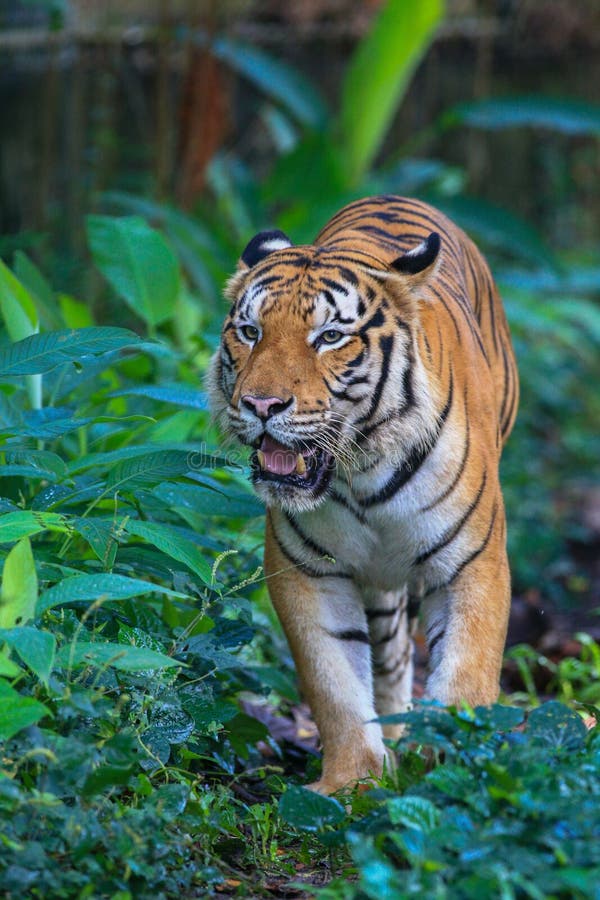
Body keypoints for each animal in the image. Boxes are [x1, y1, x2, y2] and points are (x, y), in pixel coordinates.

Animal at [208, 194, 518, 795]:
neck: (363, 469)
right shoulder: (308, 569)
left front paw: (456, 779)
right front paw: (351, 784)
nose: (262, 405)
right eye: (251, 331)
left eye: (330, 337)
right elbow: (336, 686)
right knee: (392, 658)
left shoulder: (472, 562)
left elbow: (466, 676)